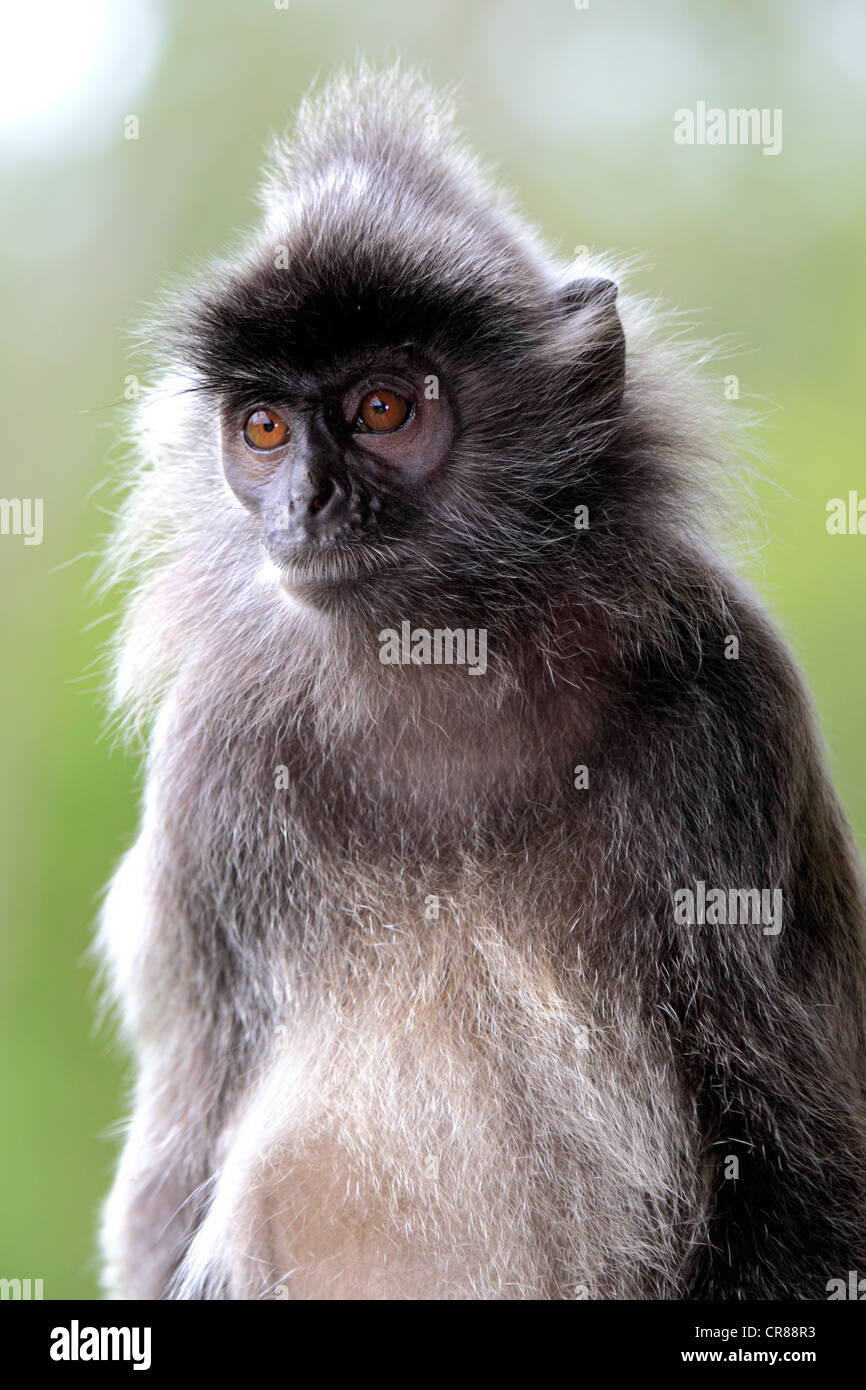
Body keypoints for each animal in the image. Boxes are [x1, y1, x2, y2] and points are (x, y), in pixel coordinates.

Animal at [99, 63, 866, 1301]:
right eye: (262, 428)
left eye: (381, 409)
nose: (304, 505)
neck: (442, 674)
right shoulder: (210, 758)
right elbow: (174, 1175)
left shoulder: (729, 697)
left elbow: (798, 1154)